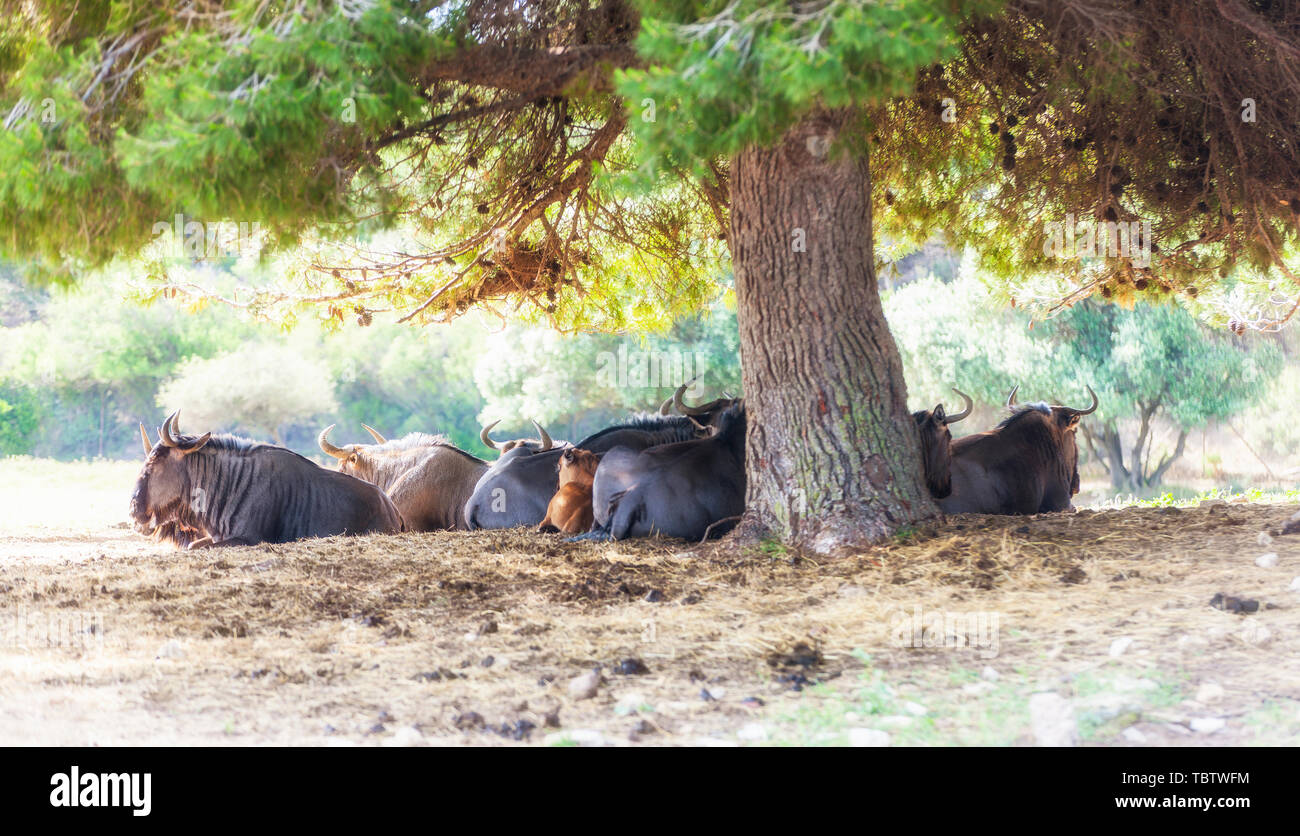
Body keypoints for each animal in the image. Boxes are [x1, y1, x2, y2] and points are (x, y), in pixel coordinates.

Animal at [131, 412, 403, 547]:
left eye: (154, 461)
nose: (134, 509)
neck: (230, 483)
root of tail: (391, 507)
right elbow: (193, 545)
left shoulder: (247, 540)